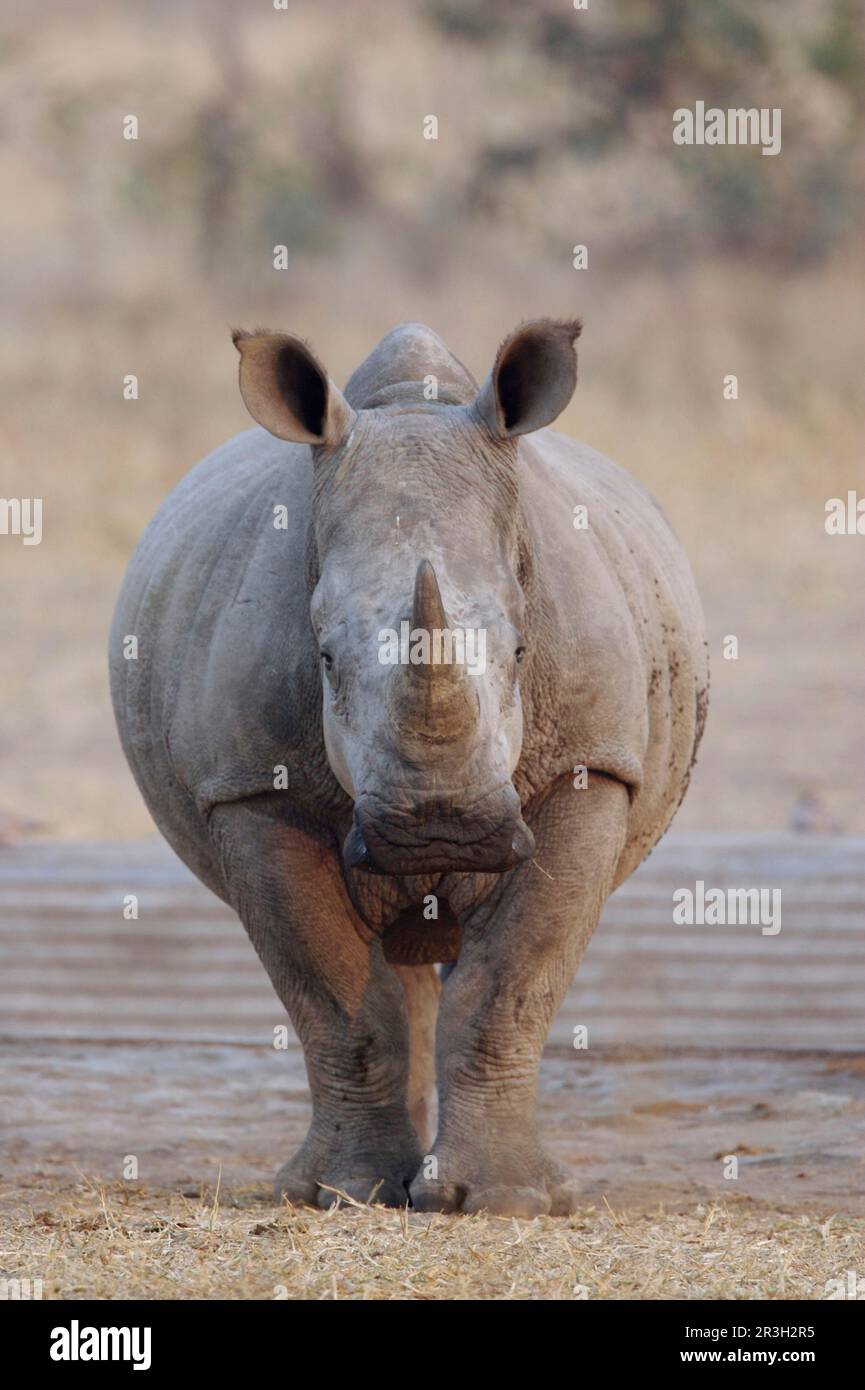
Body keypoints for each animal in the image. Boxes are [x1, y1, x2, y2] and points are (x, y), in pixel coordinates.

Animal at [110, 318, 708, 1218]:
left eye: (523, 651)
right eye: (323, 657)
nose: (439, 827)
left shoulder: (591, 766)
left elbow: (509, 984)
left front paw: (504, 1201)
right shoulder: (251, 789)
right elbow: (335, 999)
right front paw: (341, 1192)